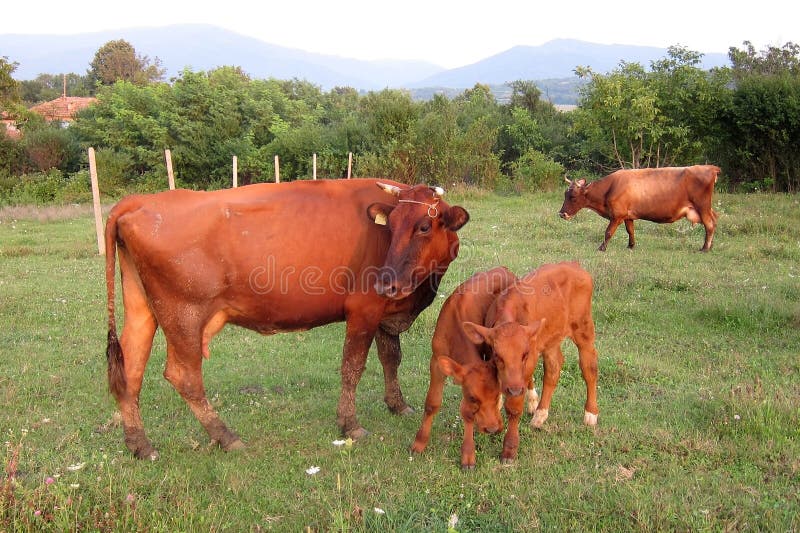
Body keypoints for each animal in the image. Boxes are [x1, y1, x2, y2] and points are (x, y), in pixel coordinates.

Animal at [104, 179, 469, 459]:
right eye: (390, 227)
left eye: (423, 226)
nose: (386, 281)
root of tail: (140, 201)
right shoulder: (364, 309)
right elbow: (352, 367)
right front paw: (350, 424)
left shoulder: (386, 310)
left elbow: (391, 357)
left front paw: (398, 405)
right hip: (184, 315)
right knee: (184, 376)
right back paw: (225, 436)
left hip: (142, 309)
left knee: (130, 370)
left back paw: (139, 444)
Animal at [410, 266, 524, 469]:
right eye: (472, 397)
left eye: (496, 394)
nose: (492, 428)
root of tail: (503, 269)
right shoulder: (436, 361)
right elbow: (433, 403)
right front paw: (419, 443)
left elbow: (468, 412)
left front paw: (467, 454)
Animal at [461, 262, 599, 463]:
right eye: (497, 355)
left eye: (524, 355)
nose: (513, 389)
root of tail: (573, 265)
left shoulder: (529, 361)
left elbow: (514, 407)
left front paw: (509, 449)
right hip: (551, 337)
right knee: (553, 368)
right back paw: (540, 414)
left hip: (584, 328)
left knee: (589, 368)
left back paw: (590, 414)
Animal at [558, 165, 721, 251]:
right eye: (565, 194)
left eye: (572, 197)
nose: (561, 214)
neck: (610, 187)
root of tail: (710, 168)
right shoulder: (628, 216)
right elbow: (630, 231)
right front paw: (631, 246)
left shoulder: (617, 216)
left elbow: (608, 232)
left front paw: (601, 248)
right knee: (713, 222)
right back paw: (710, 246)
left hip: (702, 207)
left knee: (709, 225)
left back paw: (704, 248)